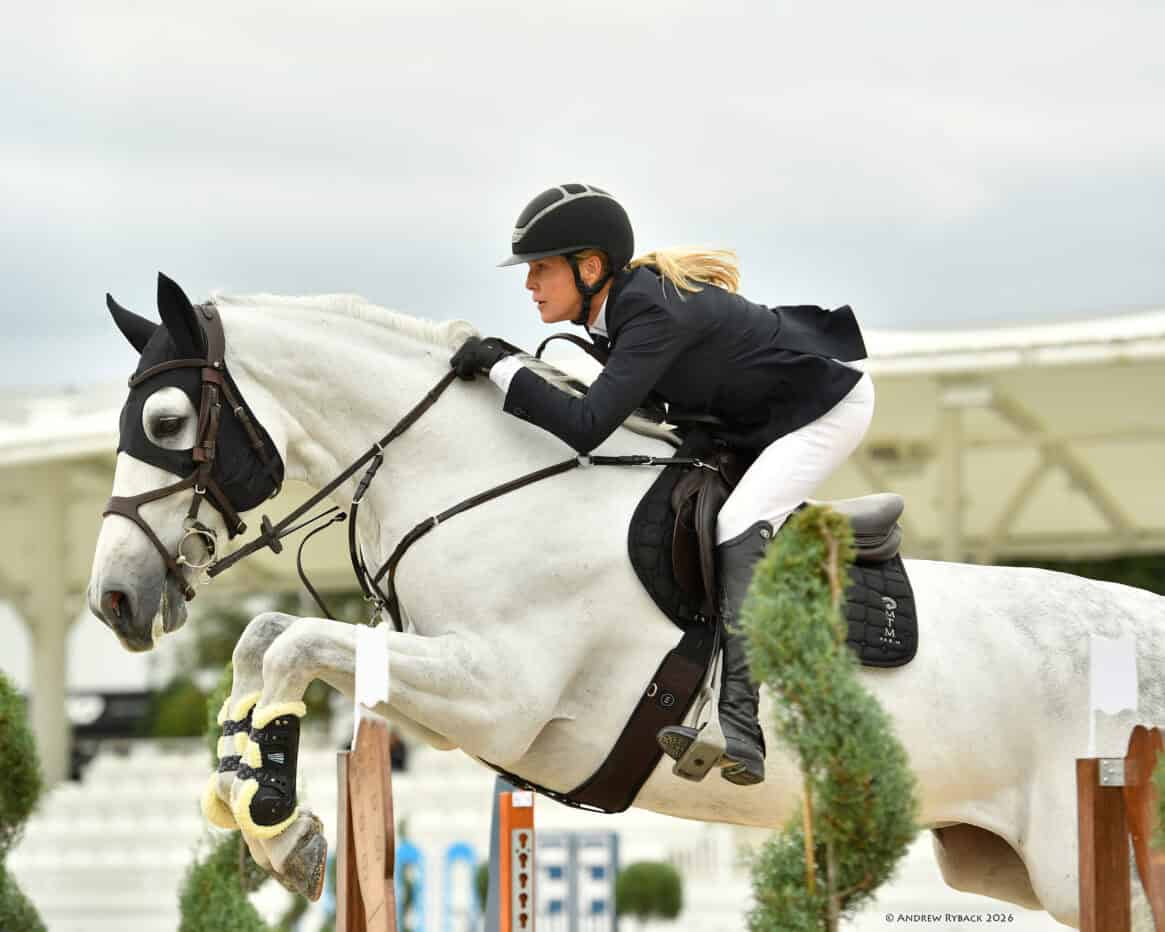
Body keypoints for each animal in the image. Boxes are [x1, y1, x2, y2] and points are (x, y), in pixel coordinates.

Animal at [87, 274, 1165, 926]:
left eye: (167, 420)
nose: (113, 599)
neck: (480, 477)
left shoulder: (499, 692)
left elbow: (293, 641)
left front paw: (275, 816)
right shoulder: (454, 703)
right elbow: (271, 637)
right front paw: (261, 809)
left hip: (1080, 851)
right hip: (1011, 863)